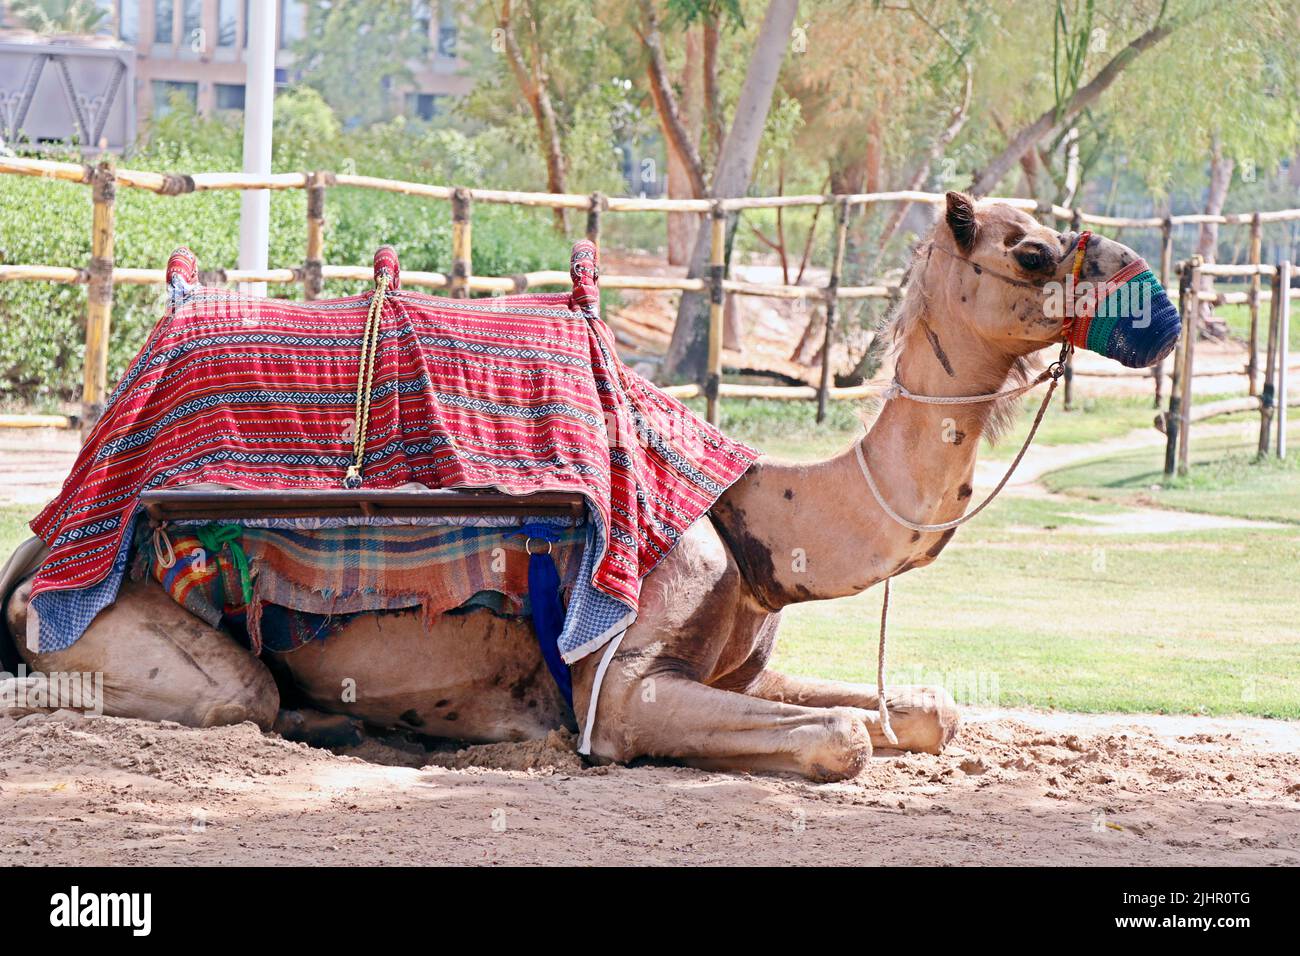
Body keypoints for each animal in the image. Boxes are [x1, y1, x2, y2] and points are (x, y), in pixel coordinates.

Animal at [1, 193, 1170, 780]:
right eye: (1032, 251)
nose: (1154, 296)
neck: (755, 520)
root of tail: (38, 546)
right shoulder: (620, 686)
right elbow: (839, 741)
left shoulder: (741, 669)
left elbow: (925, 713)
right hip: (108, 619)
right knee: (227, 696)